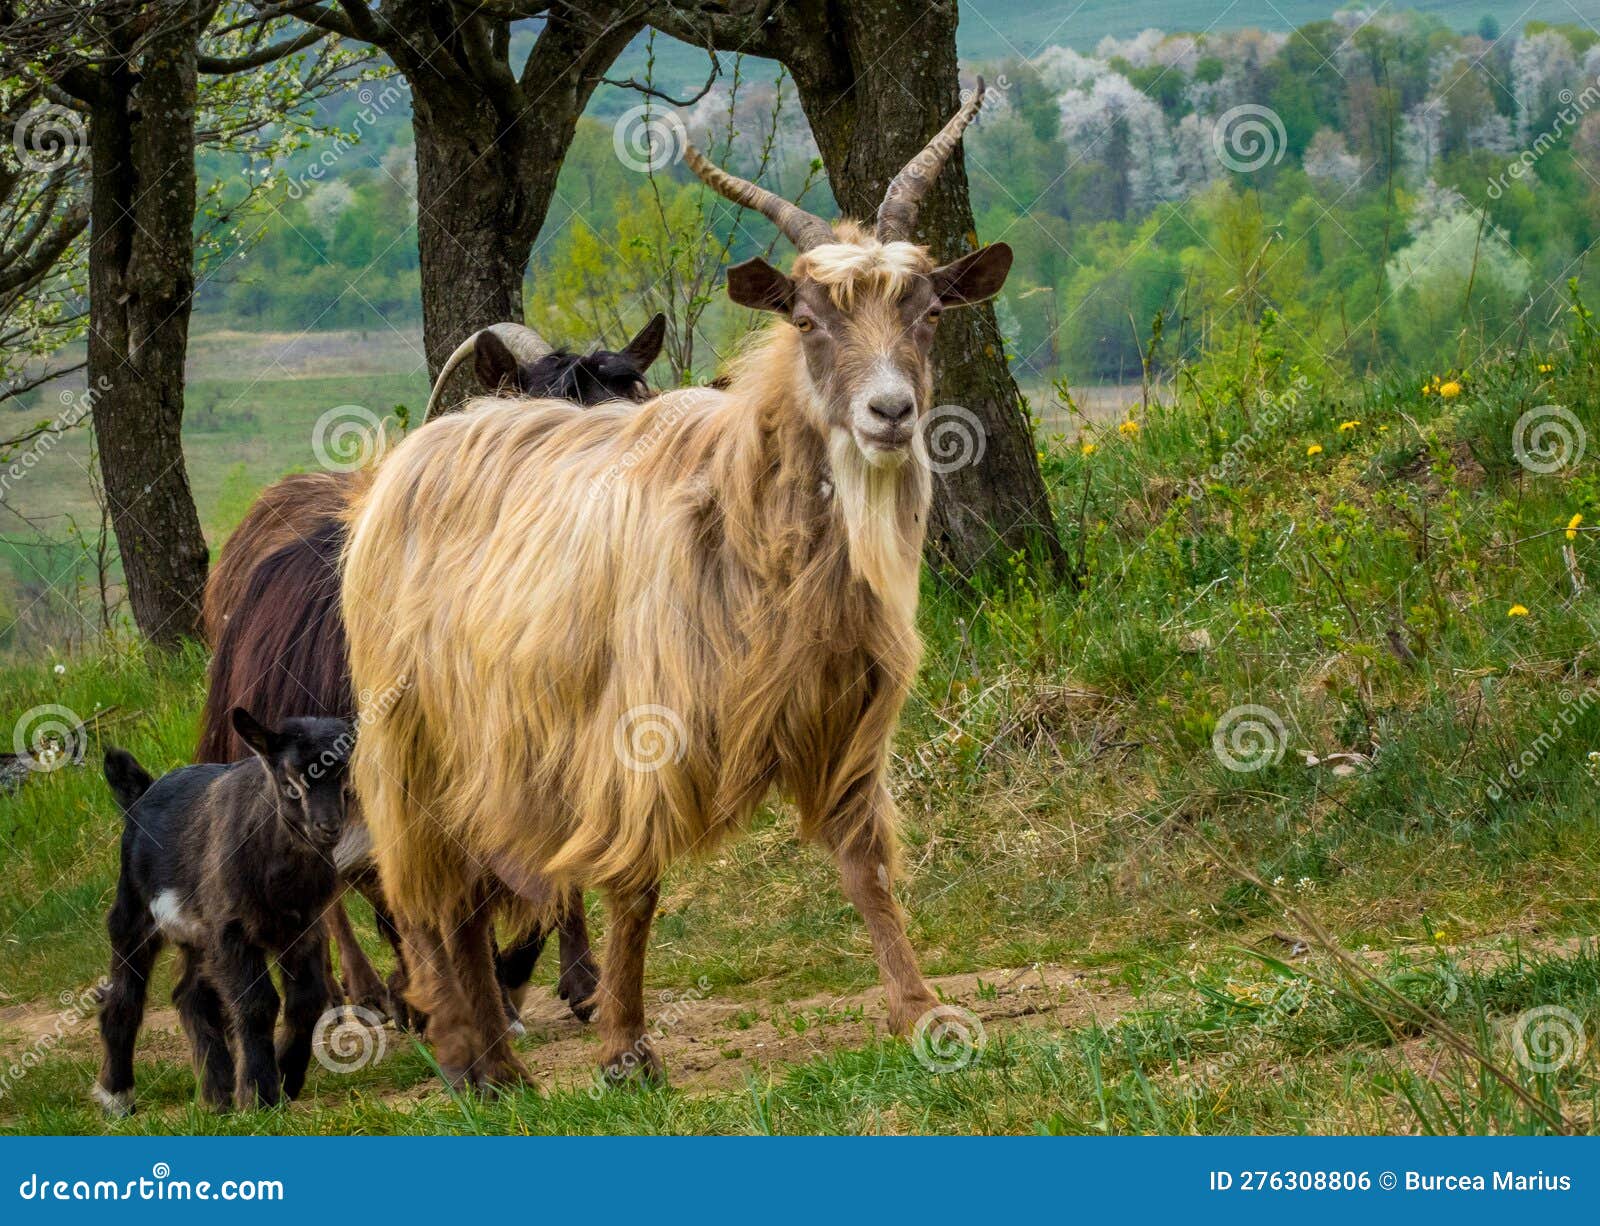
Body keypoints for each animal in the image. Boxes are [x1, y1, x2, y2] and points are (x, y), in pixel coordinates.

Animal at [95, 711, 355, 1114]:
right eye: (290, 785)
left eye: (346, 776)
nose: (328, 828)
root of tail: (141, 793)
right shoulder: (232, 930)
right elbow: (256, 1003)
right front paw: (260, 1096)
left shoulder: (304, 928)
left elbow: (308, 1001)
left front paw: (285, 1077)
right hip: (134, 913)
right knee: (124, 997)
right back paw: (117, 1096)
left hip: (199, 935)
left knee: (190, 996)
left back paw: (217, 1095)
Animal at [340, 82, 1011, 1089]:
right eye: (806, 318)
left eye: (930, 311)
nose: (889, 411)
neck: (742, 516)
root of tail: (413, 455)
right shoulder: (641, 722)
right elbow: (635, 887)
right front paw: (625, 1045)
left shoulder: (844, 718)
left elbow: (866, 866)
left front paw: (922, 1009)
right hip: (413, 731)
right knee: (425, 888)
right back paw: (466, 1054)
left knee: (465, 896)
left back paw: (500, 1065)